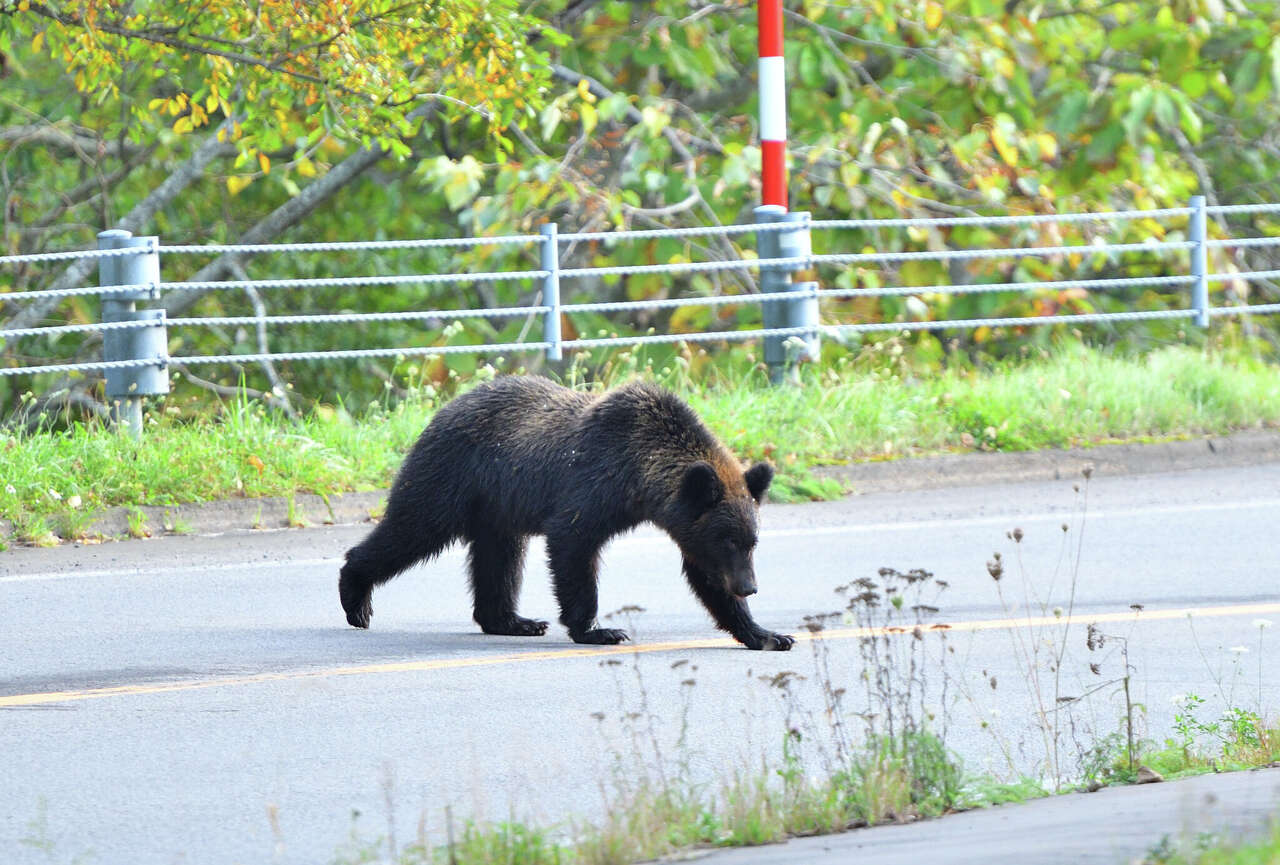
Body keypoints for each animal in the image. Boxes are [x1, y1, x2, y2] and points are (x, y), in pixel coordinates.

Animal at [338, 376, 794, 650]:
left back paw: (513, 620)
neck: (639, 479)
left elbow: (704, 577)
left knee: (500, 558)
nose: (749, 587)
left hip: (497, 507)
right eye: (728, 539)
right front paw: (599, 629)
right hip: (453, 477)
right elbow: (573, 545)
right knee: (413, 528)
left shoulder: (685, 524)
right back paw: (355, 596)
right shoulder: (594, 484)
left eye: (751, 541)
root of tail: (445, 407)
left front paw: (767, 633)